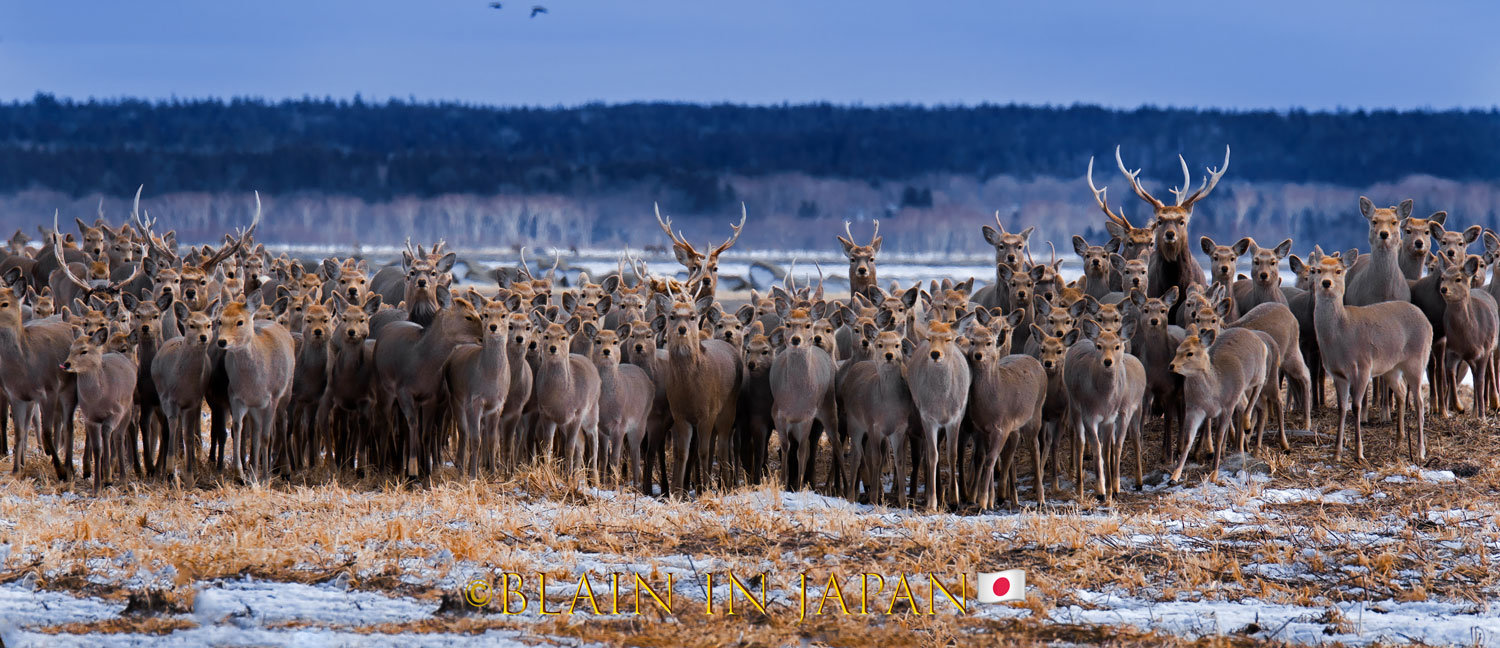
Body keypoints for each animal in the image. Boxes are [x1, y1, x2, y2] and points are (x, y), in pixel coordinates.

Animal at [60, 326, 138, 494]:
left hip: (128, 408)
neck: (98, 397)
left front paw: (107, 477)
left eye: (84, 350)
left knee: (119, 438)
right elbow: (97, 448)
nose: (66, 364)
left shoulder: (115, 413)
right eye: (71, 348)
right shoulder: (90, 418)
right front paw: (97, 487)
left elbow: (108, 435)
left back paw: (122, 480)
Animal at [1308, 249, 1431, 462]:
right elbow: (1342, 408)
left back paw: (1420, 451)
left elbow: (1356, 406)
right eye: (1317, 270)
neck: (1340, 335)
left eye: (1339, 270)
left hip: (1417, 359)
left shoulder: (1363, 365)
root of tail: (1427, 321)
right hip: (1391, 367)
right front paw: (1336, 453)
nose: (1326, 283)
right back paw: (1398, 443)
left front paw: (1359, 453)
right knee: (1400, 391)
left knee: (1419, 402)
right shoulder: (1337, 373)